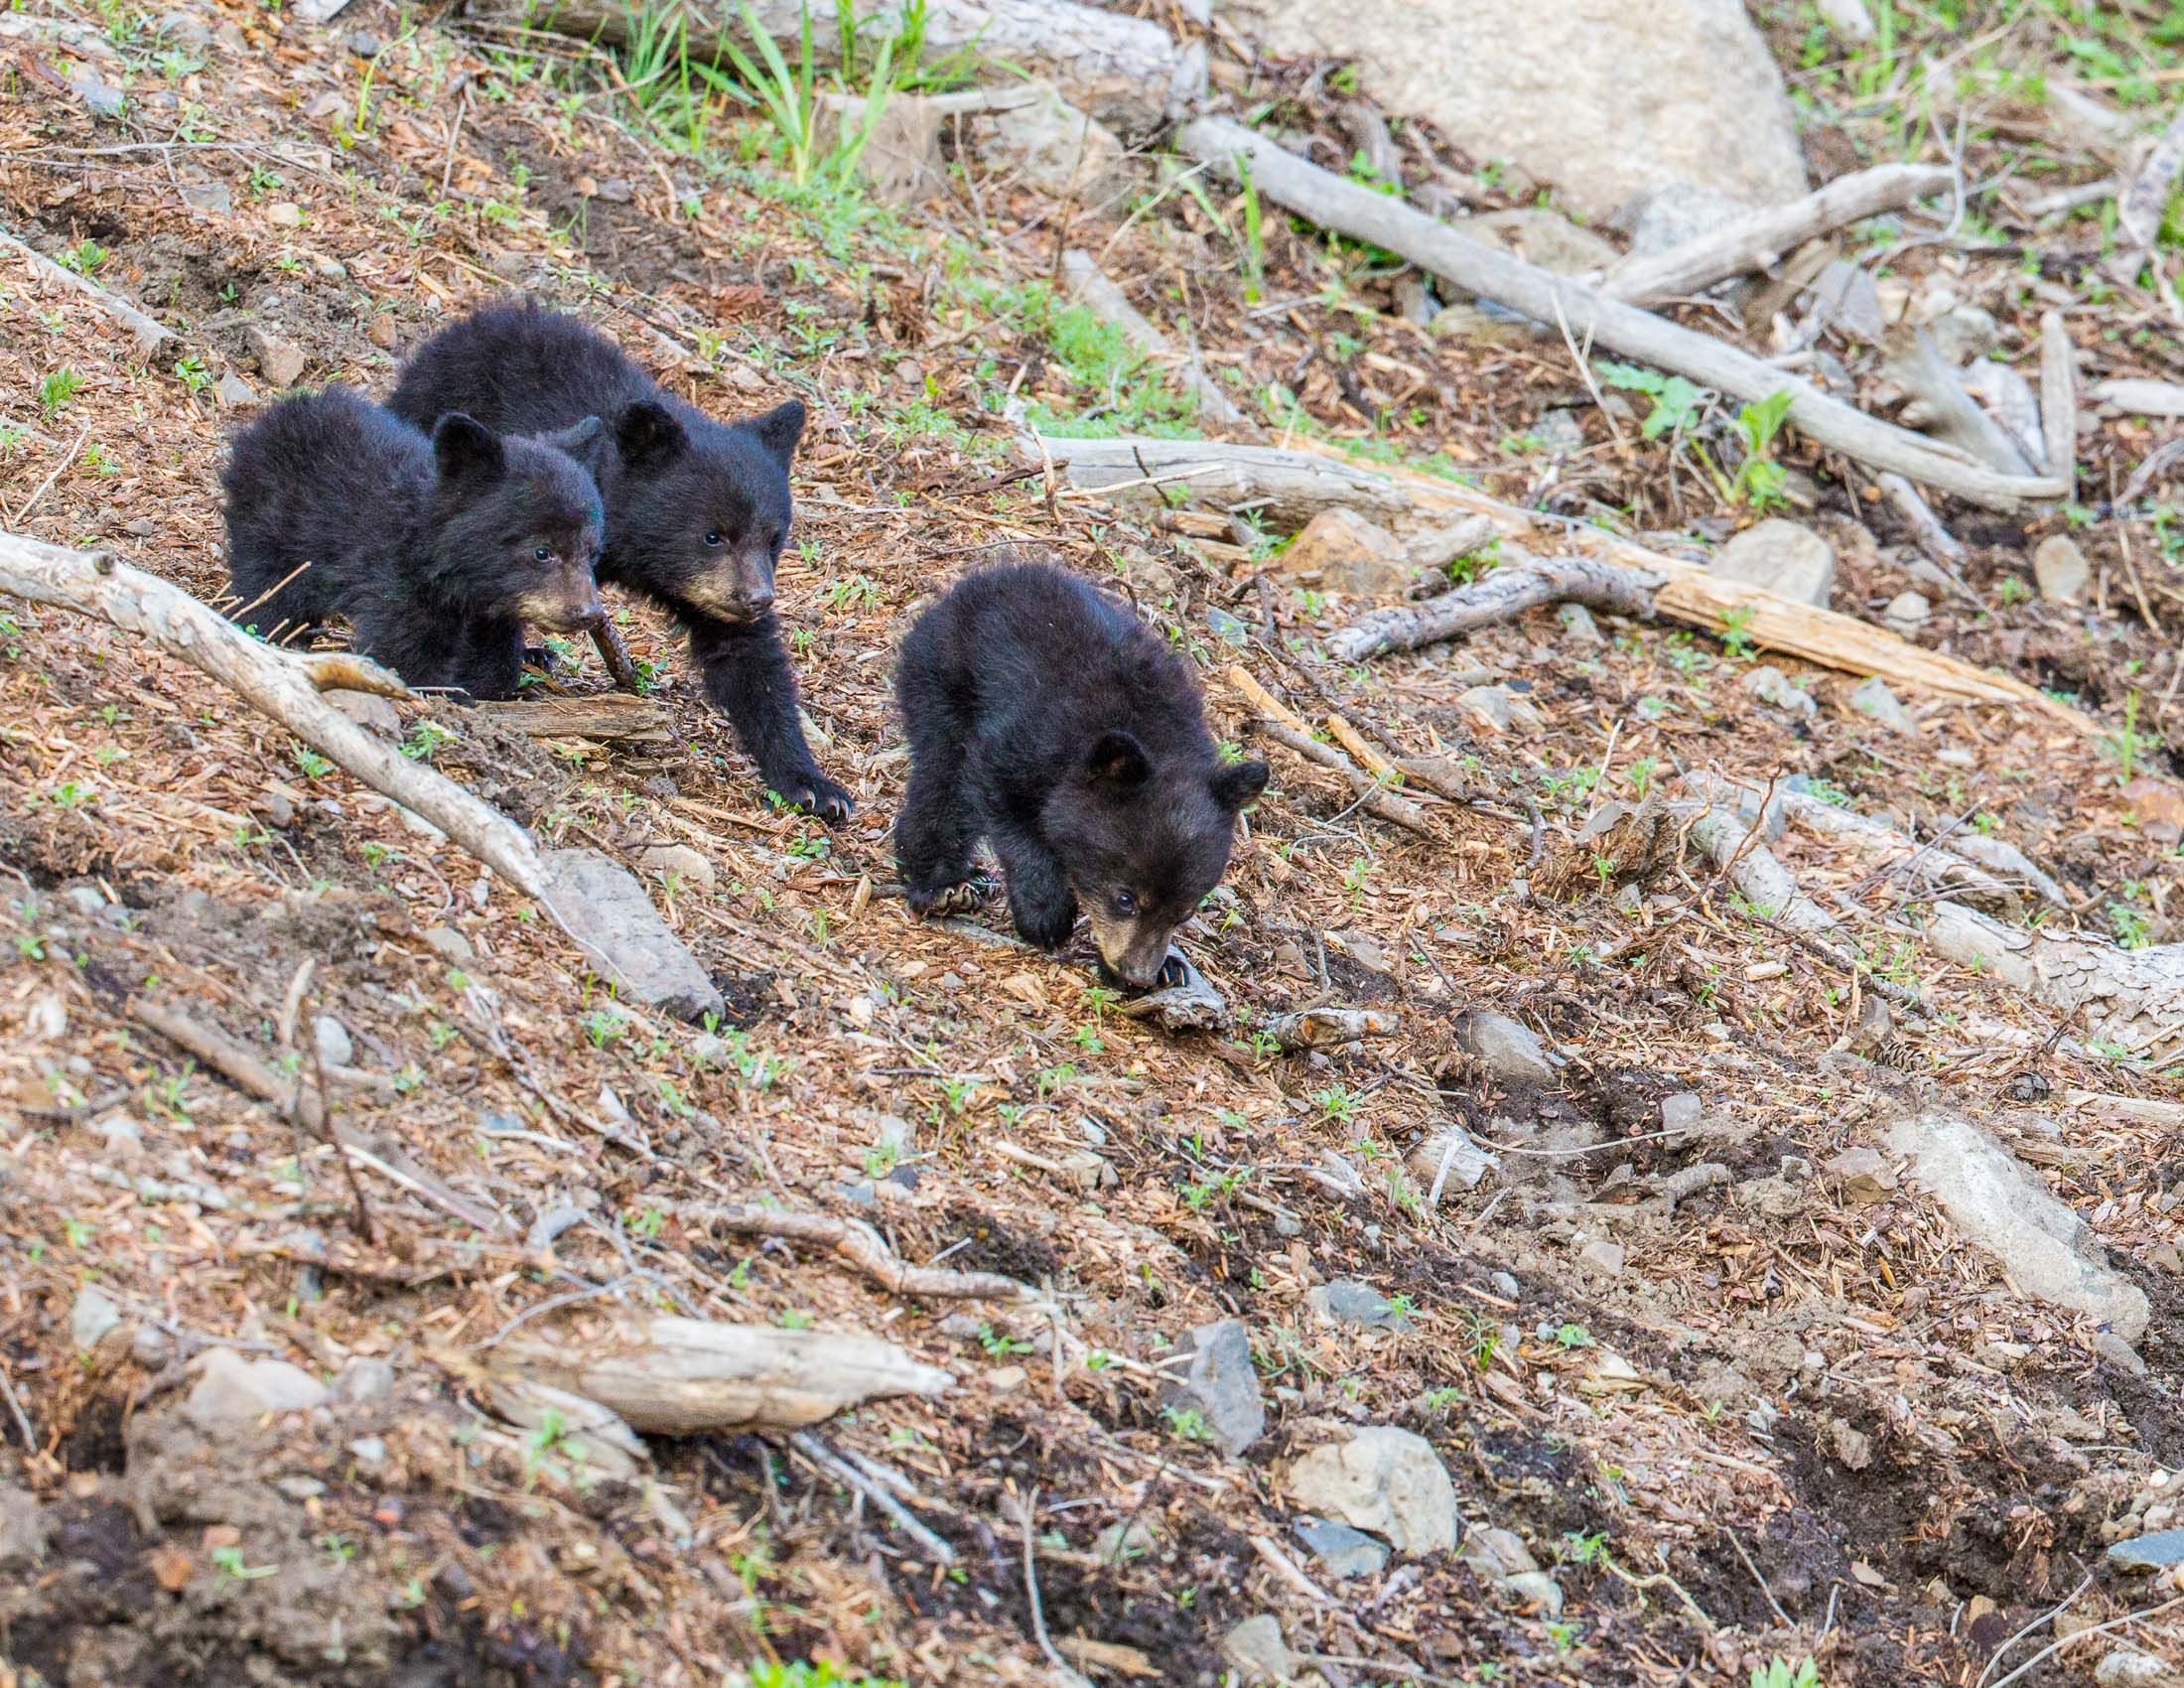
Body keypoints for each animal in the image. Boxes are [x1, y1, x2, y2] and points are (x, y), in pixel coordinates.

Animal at [221, 387, 607, 700]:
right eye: (543, 552)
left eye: (592, 552)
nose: (590, 613)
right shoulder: (398, 581)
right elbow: (405, 651)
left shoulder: (485, 613)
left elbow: (492, 658)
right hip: (272, 533)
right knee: (266, 594)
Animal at [386, 300, 851, 821]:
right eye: (712, 535)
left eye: (773, 538)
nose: (757, 598)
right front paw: (484, 692)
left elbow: (750, 661)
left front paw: (812, 784)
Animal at [893, 561, 1270, 989]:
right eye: (1125, 898)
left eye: (1185, 913)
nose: (1137, 974)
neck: (1153, 733)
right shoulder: (1023, 740)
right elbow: (1002, 800)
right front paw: (1046, 917)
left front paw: (1167, 965)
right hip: (942, 675)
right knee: (942, 779)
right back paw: (942, 885)